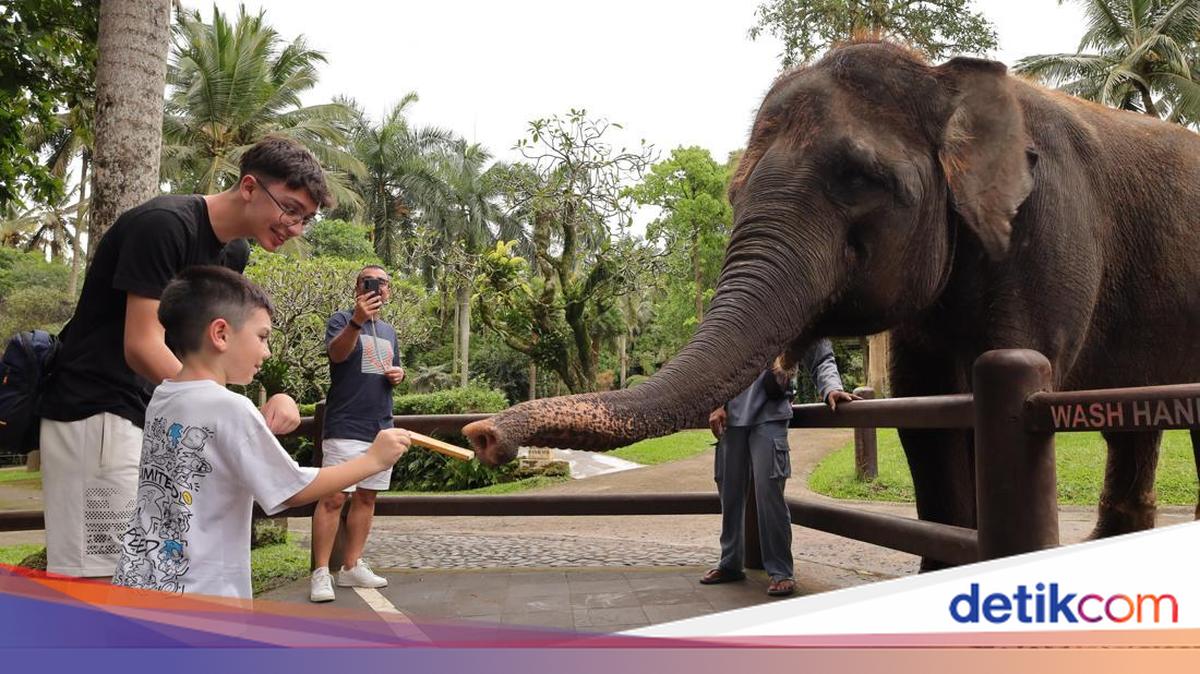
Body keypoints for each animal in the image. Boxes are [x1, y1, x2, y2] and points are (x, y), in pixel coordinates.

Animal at [463, 39, 1200, 569]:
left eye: (860, 178)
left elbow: (1003, 371)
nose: (482, 436)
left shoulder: (1049, 232)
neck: (945, 79)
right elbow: (925, 411)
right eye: (733, 193)